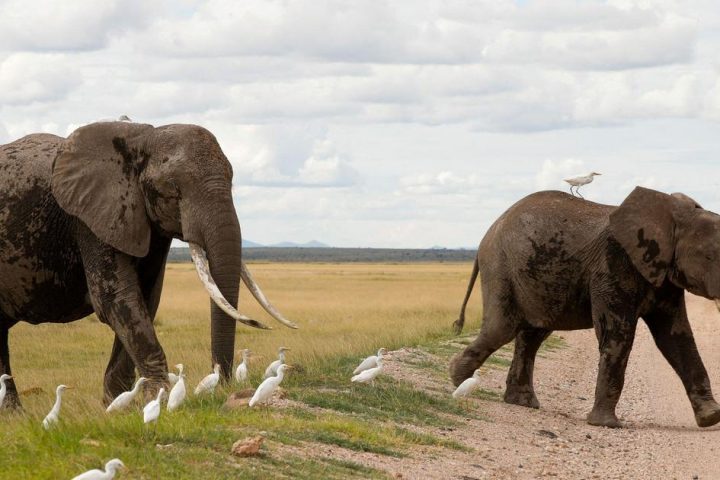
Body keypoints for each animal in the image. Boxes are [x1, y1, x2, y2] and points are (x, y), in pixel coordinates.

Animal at [0, 121, 297, 408]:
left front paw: (118, 406)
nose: (222, 383)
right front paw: (156, 398)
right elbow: (116, 299)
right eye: (173, 189)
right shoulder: (91, 220)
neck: (141, 138)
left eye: (232, 180)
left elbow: (145, 297)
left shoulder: (145, 222)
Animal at [450, 187, 720, 428]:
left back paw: (521, 402)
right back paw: (459, 379)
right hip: (501, 265)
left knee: (532, 334)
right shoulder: (613, 265)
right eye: (710, 256)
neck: (676, 215)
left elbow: (676, 337)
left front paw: (711, 417)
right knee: (502, 328)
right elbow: (618, 336)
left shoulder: (664, 276)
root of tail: (488, 233)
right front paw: (606, 425)